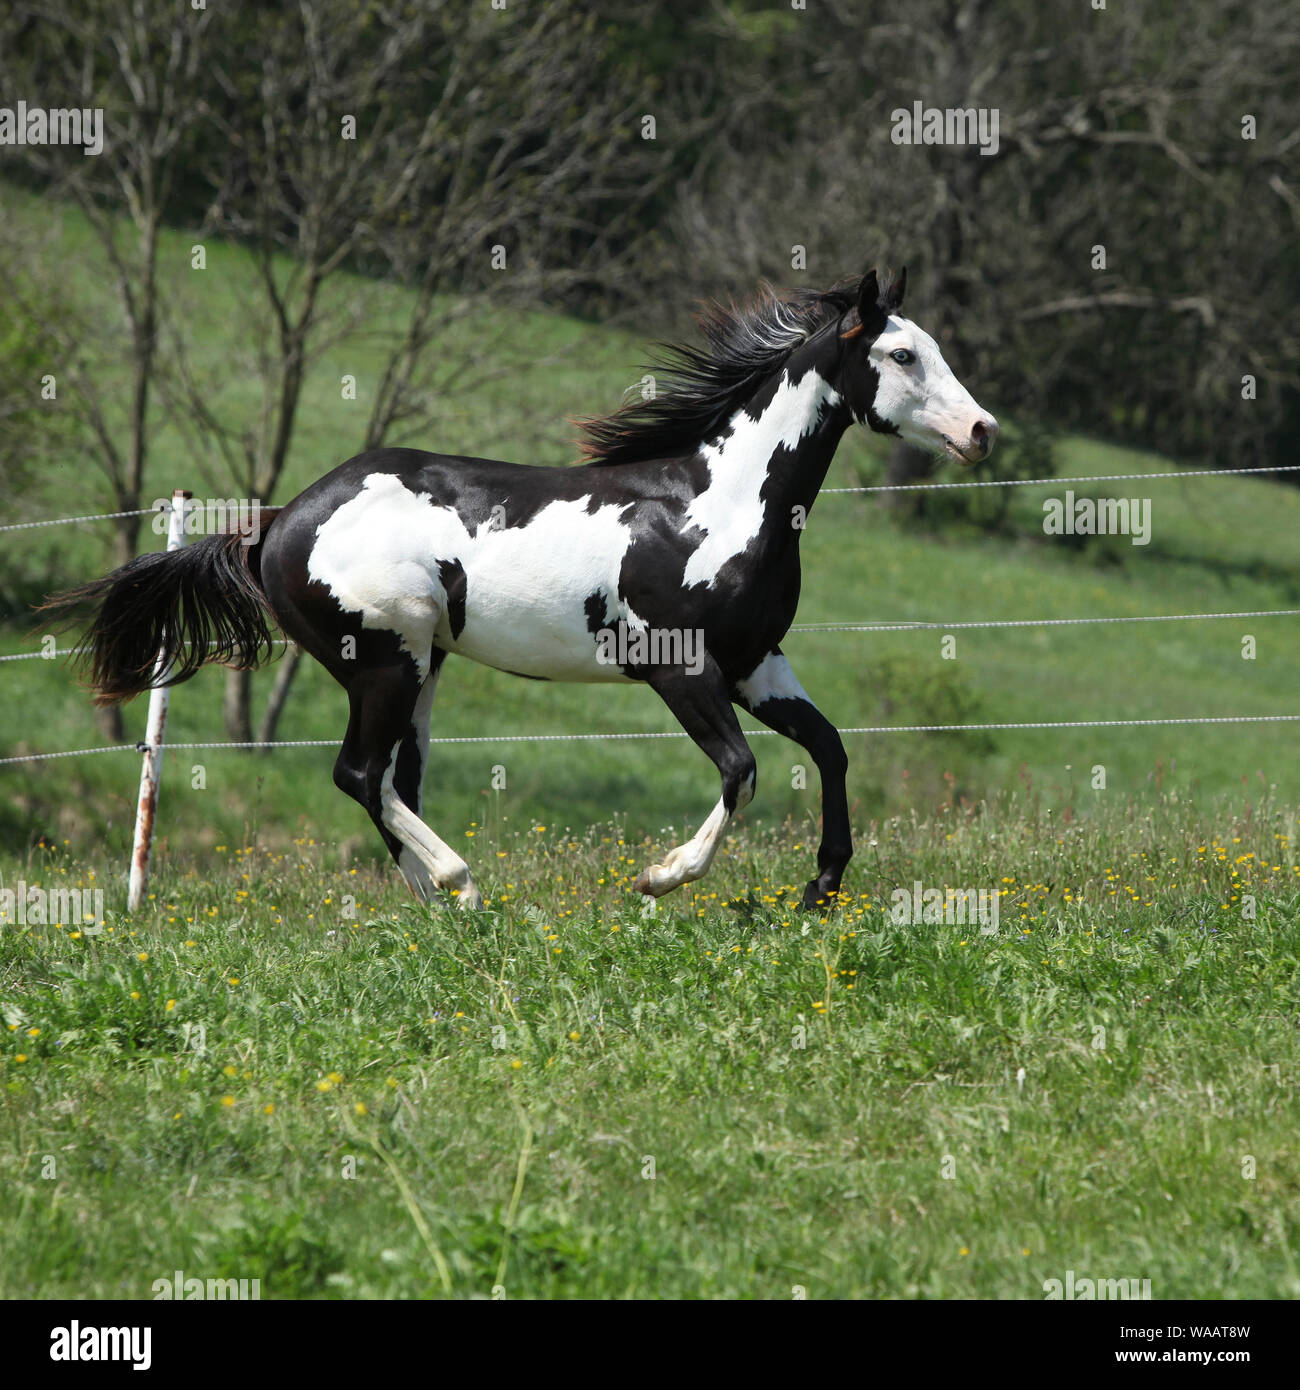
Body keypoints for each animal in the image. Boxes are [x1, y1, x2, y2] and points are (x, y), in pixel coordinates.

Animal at [52, 266, 997, 911]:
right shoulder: (681, 670)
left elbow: (830, 750)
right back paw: (462, 885)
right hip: (385, 662)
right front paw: (662, 877)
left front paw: (821, 888)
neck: (720, 504)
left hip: (422, 669)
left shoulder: (757, 664)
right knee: (360, 774)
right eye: (902, 353)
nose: (983, 431)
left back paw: (436, 900)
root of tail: (280, 521)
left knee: (391, 782)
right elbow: (742, 770)